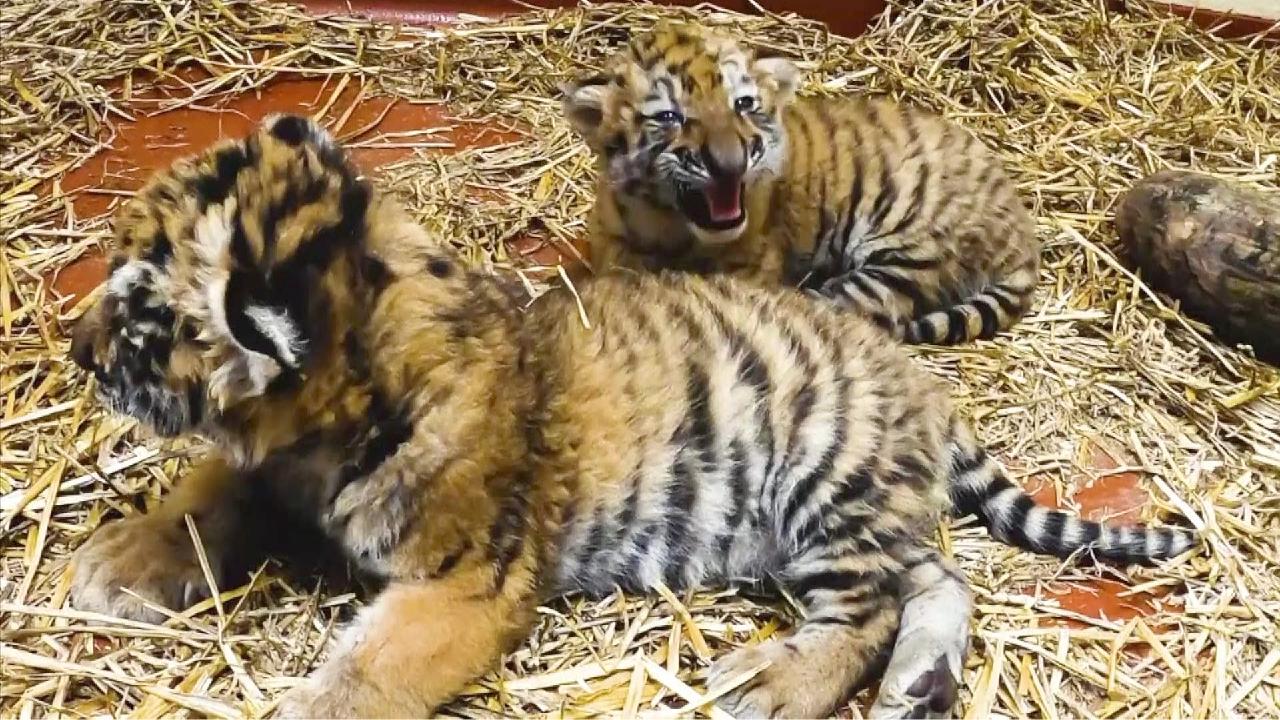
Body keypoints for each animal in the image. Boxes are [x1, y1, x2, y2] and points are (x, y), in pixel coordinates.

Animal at [66, 115, 1193, 719]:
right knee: (940, 580)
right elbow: (207, 492)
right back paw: (919, 683)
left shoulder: (465, 584)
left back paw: (773, 682)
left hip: (823, 477)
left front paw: (305, 701)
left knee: (870, 608)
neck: (319, 428)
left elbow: (366, 671)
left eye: (139, 313)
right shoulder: (269, 472)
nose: (76, 351)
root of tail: (909, 375)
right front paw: (118, 559)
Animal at [563, 21, 1040, 345]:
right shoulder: (613, 240)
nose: (731, 163)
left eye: (743, 104)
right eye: (669, 117)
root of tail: (1021, 233)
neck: (670, 225)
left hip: (912, 248)